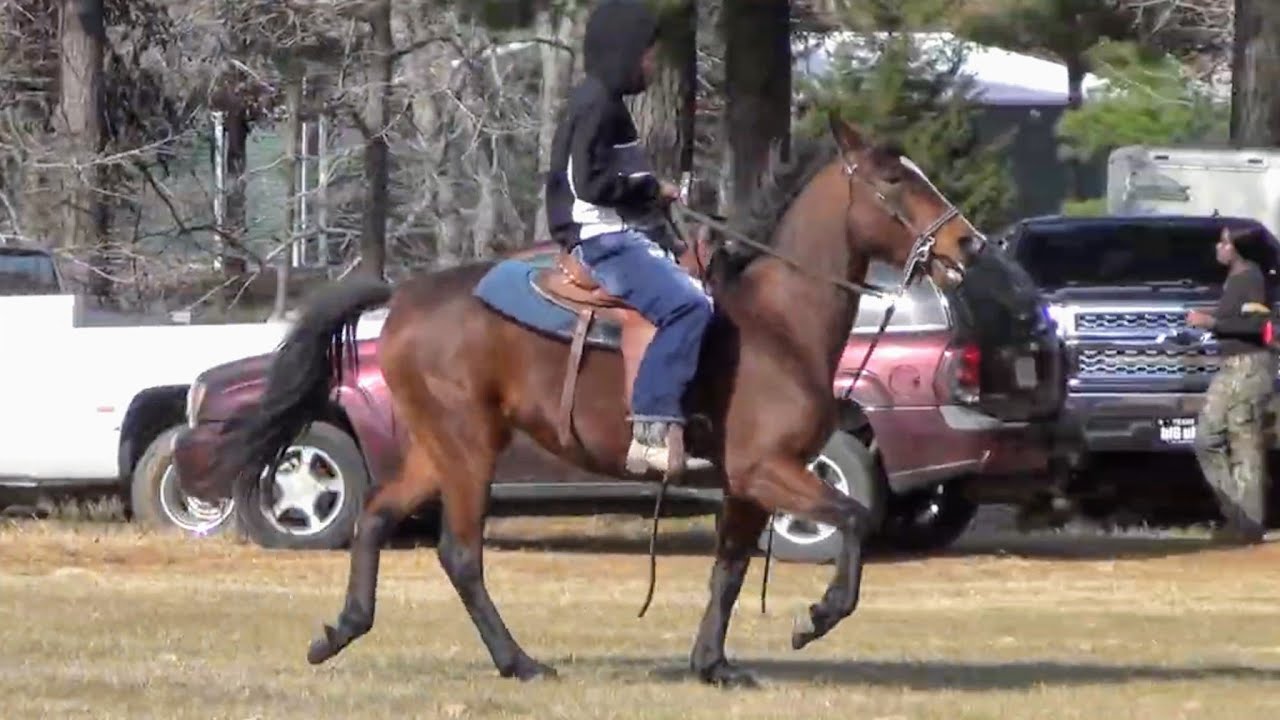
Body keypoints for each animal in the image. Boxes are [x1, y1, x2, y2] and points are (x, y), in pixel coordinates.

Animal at [207, 117, 1038, 688]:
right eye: (893, 182)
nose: (968, 245)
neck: (777, 322)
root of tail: (404, 296)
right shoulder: (768, 470)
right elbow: (854, 518)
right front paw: (816, 620)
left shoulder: (747, 484)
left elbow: (730, 570)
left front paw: (713, 665)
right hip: (468, 450)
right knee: (461, 554)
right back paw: (518, 661)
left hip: (436, 449)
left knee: (378, 520)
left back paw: (340, 632)